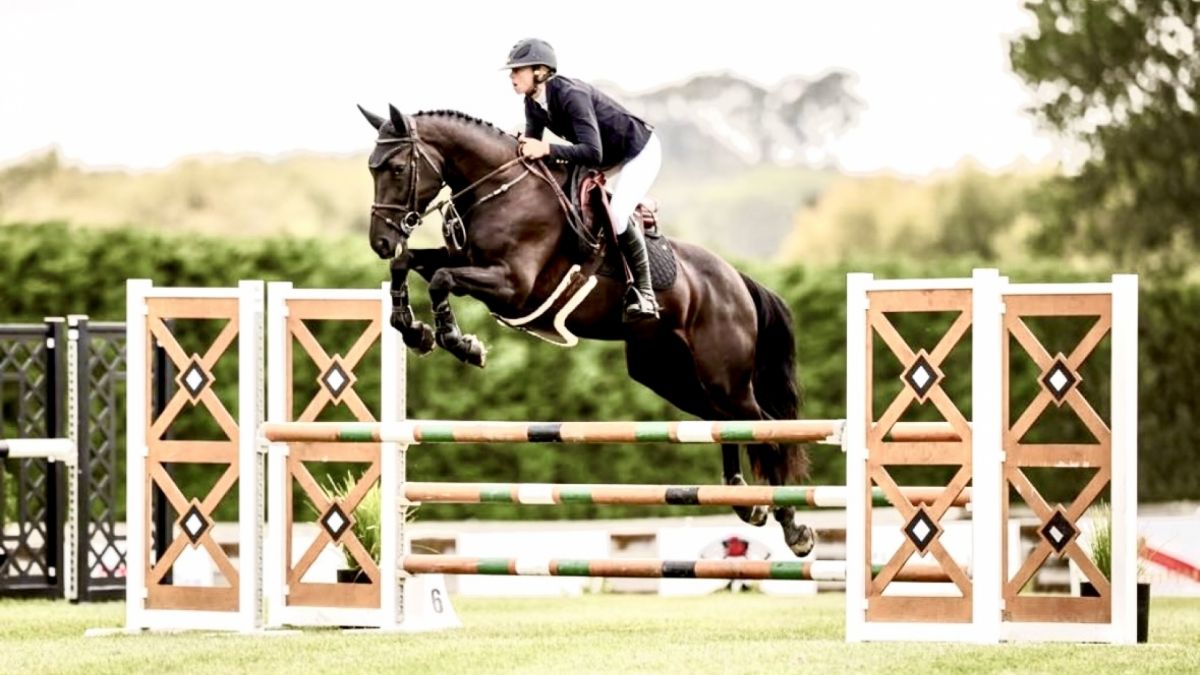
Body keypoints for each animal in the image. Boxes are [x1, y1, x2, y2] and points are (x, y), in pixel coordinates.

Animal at [359, 104, 815, 557]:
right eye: (371, 169)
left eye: (397, 168)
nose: (380, 242)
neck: (502, 190)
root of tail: (738, 279)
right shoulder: (464, 261)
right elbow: (408, 264)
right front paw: (415, 331)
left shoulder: (511, 286)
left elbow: (441, 280)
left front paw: (460, 343)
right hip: (664, 372)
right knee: (721, 421)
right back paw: (744, 500)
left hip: (724, 376)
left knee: (767, 430)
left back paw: (793, 527)